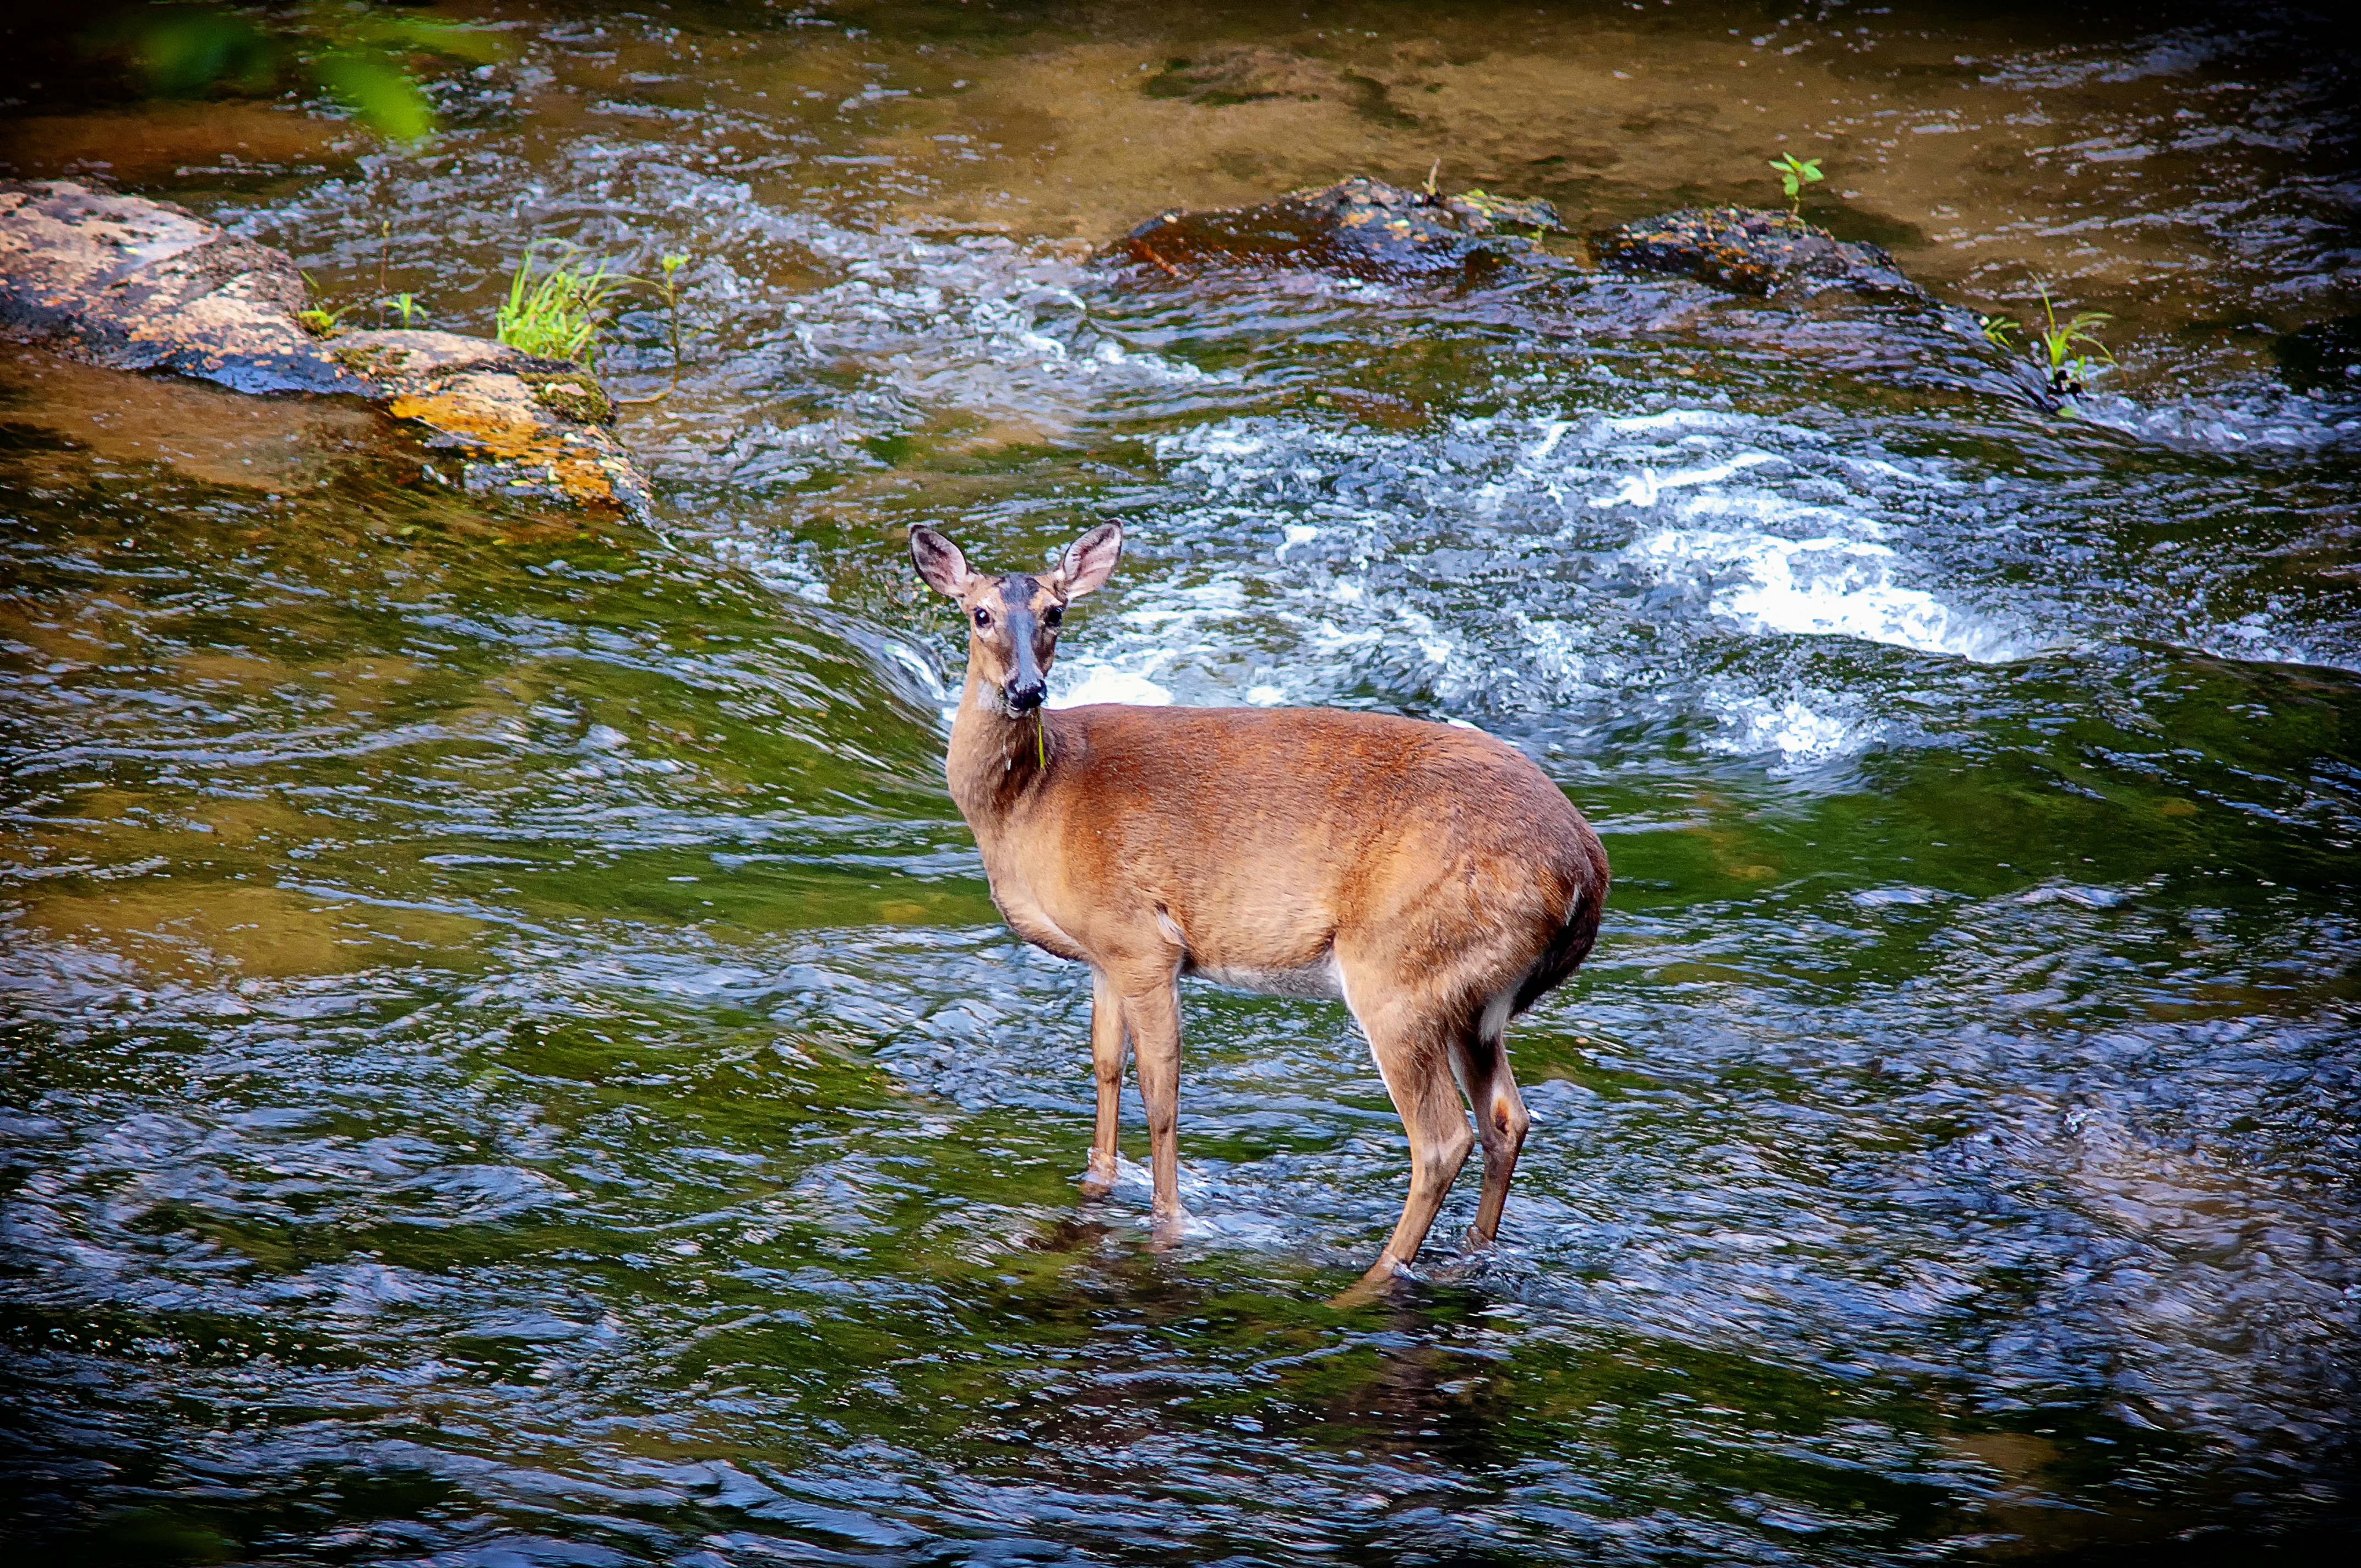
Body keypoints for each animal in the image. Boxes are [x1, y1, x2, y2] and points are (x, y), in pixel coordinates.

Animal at [908, 522, 1609, 1292]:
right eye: (979, 613)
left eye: (1055, 613)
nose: (1026, 690)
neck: (1033, 799)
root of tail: (1588, 869)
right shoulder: (1102, 954)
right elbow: (1105, 1066)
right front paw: (1097, 1184)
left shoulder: (1143, 939)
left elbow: (1161, 1091)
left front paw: (1168, 1222)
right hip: (1470, 996)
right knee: (1506, 1118)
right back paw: (1467, 1257)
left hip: (1401, 968)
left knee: (1441, 1137)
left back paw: (1367, 1283)